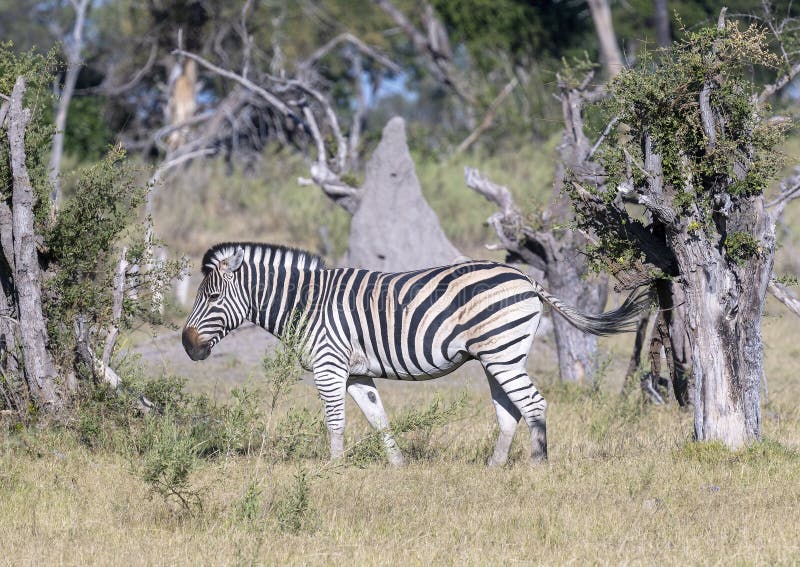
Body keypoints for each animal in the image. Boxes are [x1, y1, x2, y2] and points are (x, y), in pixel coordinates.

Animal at [182, 242, 647, 466]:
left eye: (213, 296)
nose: (187, 345)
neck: (308, 303)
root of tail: (527, 278)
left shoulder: (329, 366)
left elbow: (335, 423)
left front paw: (332, 470)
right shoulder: (357, 372)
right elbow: (378, 418)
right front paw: (398, 466)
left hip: (502, 353)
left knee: (533, 404)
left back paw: (538, 466)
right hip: (498, 356)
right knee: (509, 411)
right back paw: (494, 468)